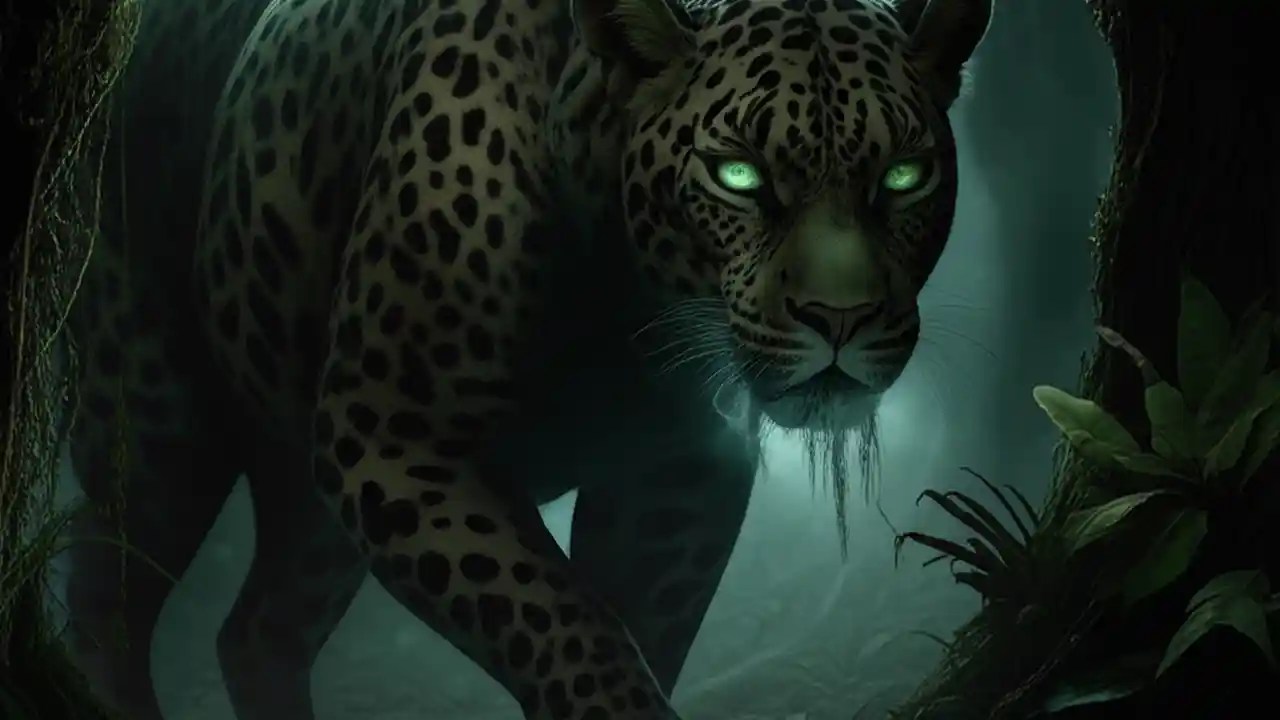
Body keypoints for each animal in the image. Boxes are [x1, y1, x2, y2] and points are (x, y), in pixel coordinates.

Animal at [63, 0, 993, 718]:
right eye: (738, 175)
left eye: (904, 176)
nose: (840, 317)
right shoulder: (395, 440)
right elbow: (569, 626)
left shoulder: (678, 473)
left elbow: (626, 629)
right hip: (155, 413)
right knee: (105, 600)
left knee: (257, 629)